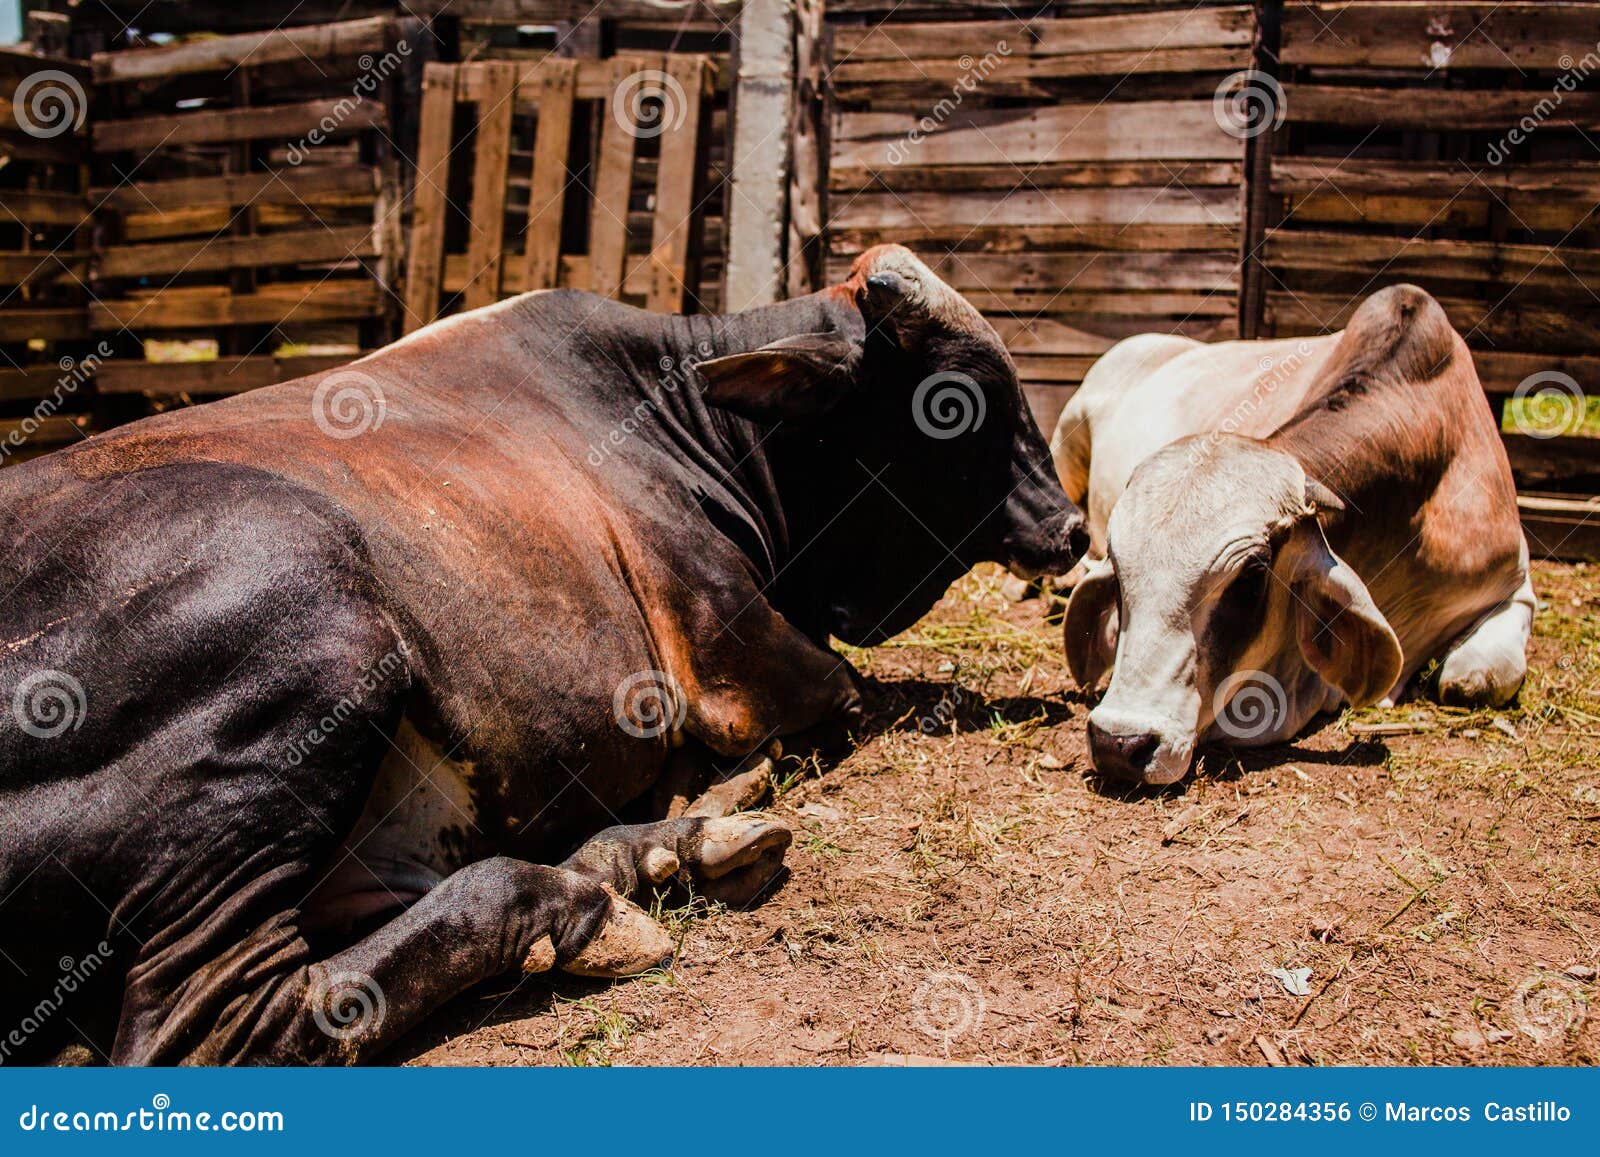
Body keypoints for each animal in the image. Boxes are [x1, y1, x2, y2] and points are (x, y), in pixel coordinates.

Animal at [0, 245, 1086, 1064]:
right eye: (961, 399)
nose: (1073, 528)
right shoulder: (739, 664)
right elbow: (861, 695)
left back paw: (662, 847)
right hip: (305, 609)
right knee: (220, 1022)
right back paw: (590, 894)